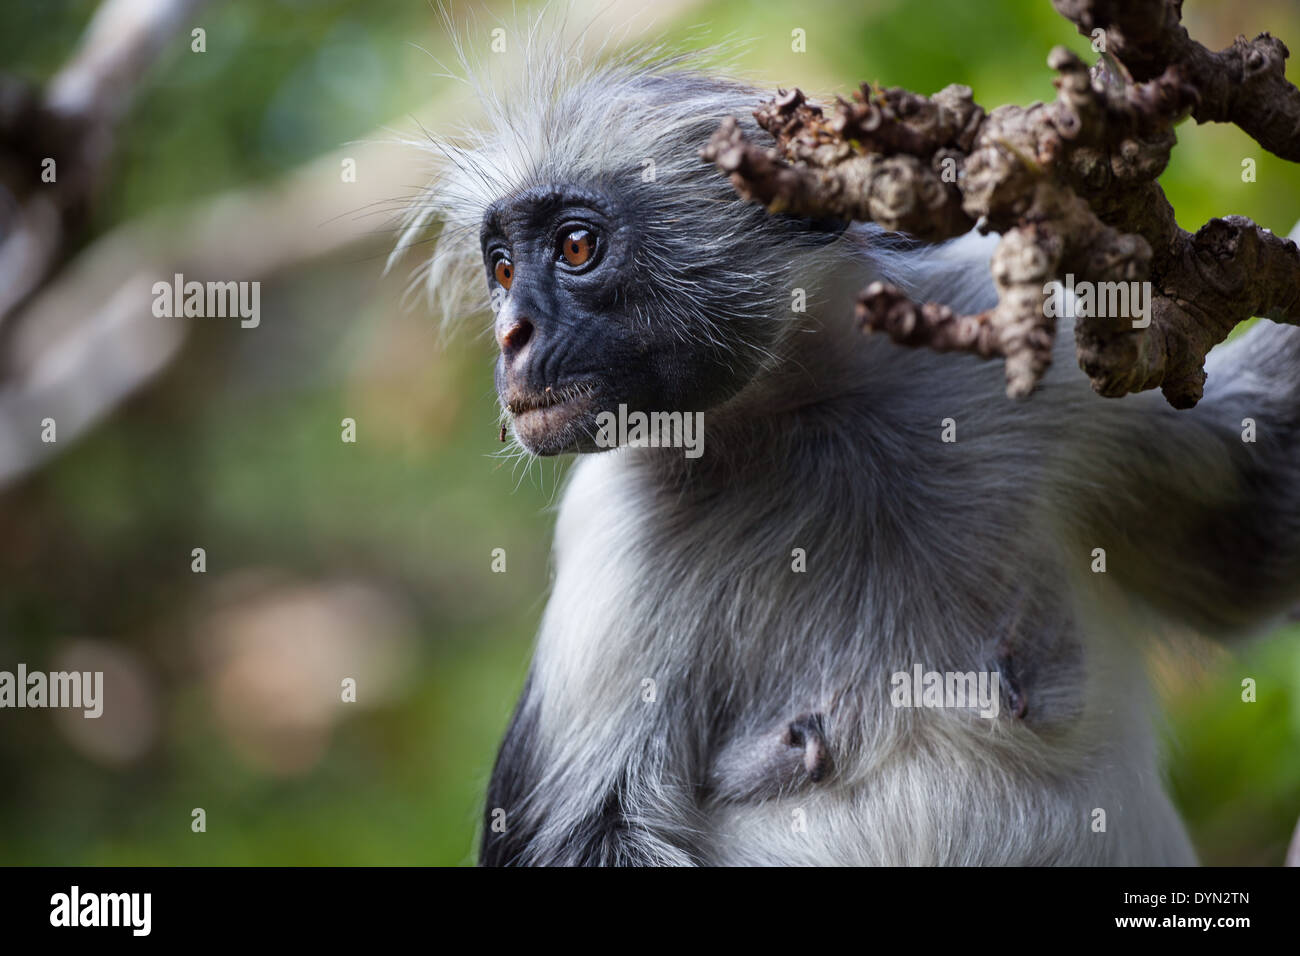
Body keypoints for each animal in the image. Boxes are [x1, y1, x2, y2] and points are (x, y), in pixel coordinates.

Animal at [393, 32, 1300, 866]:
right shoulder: (616, 521)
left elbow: (1259, 529)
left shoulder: (1044, 366)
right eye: (503, 269)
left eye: (576, 247)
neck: (812, 414)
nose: (512, 335)